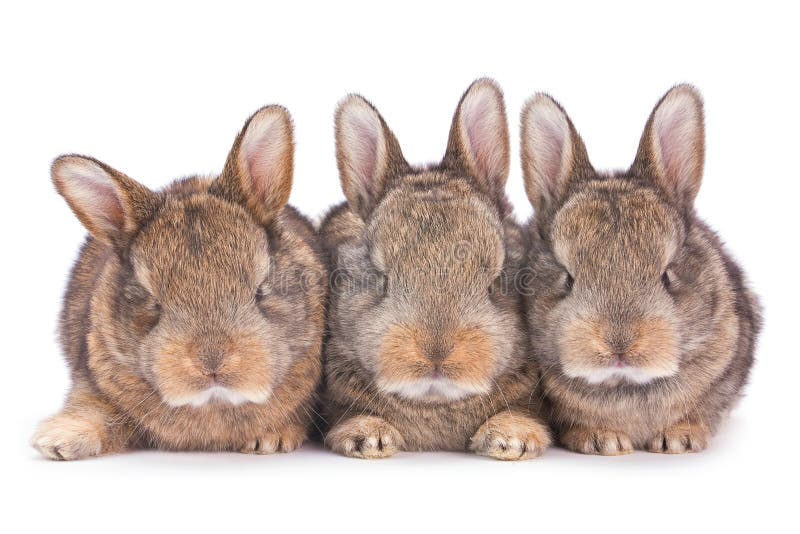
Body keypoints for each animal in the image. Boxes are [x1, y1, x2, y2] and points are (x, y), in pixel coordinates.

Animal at [31, 105, 327, 460]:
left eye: (260, 289)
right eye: (152, 301)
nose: (212, 361)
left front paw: (270, 440)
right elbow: (92, 408)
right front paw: (58, 440)